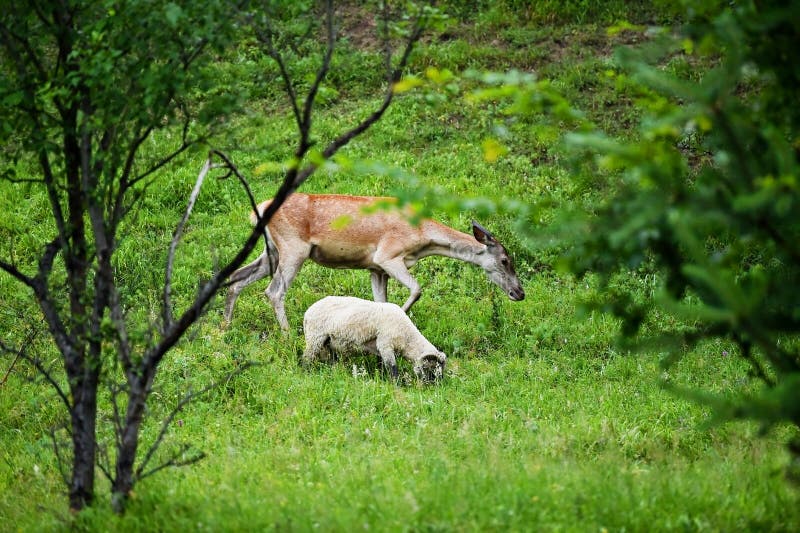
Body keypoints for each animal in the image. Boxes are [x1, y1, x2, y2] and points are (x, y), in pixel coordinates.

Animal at [223, 193, 525, 331]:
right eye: (505, 260)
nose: (519, 293)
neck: (423, 238)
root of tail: (259, 208)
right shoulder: (388, 255)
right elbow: (417, 289)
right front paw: (402, 315)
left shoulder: (375, 268)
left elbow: (381, 302)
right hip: (293, 248)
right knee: (274, 291)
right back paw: (287, 333)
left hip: (272, 251)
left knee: (237, 278)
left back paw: (224, 327)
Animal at [302, 296, 446, 382]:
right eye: (431, 367)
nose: (436, 384)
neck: (407, 338)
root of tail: (307, 313)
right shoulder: (385, 344)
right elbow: (392, 367)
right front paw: (398, 384)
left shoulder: (380, 348)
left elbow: (382, 365)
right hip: (314, 337)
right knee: (306, 358)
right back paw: (306, 374)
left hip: (329, 343)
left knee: (331, 360)